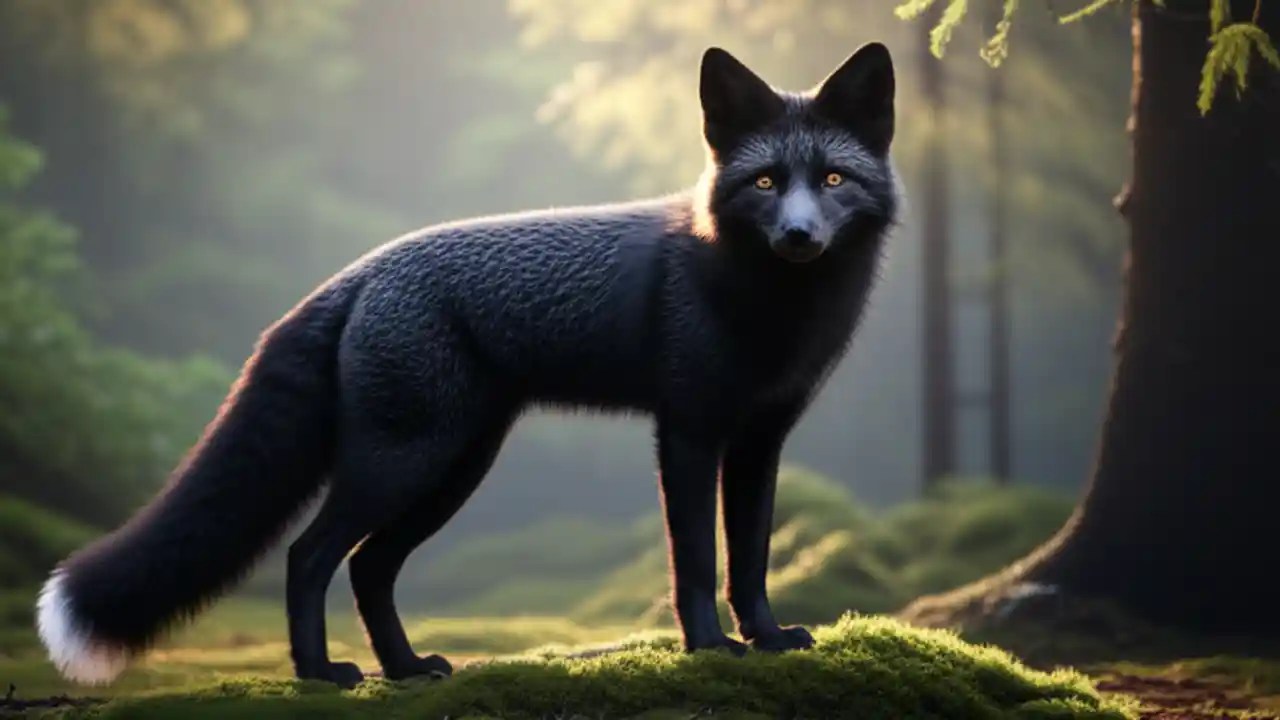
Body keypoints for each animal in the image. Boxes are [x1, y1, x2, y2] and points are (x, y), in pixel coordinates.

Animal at [37, 44, 899, 688]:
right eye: (765, 182)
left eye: (831, 179)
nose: (797, 236)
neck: (771, 312)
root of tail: (360, 272)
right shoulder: (687, 431)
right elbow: (694, 558)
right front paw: (709, 648)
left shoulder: (759, 441)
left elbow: (749, 557)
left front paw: (766, 638)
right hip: (407, 460)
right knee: (310, 555)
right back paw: (321, 674)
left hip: (455, 466)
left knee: (368, 567)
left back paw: (405, 667)